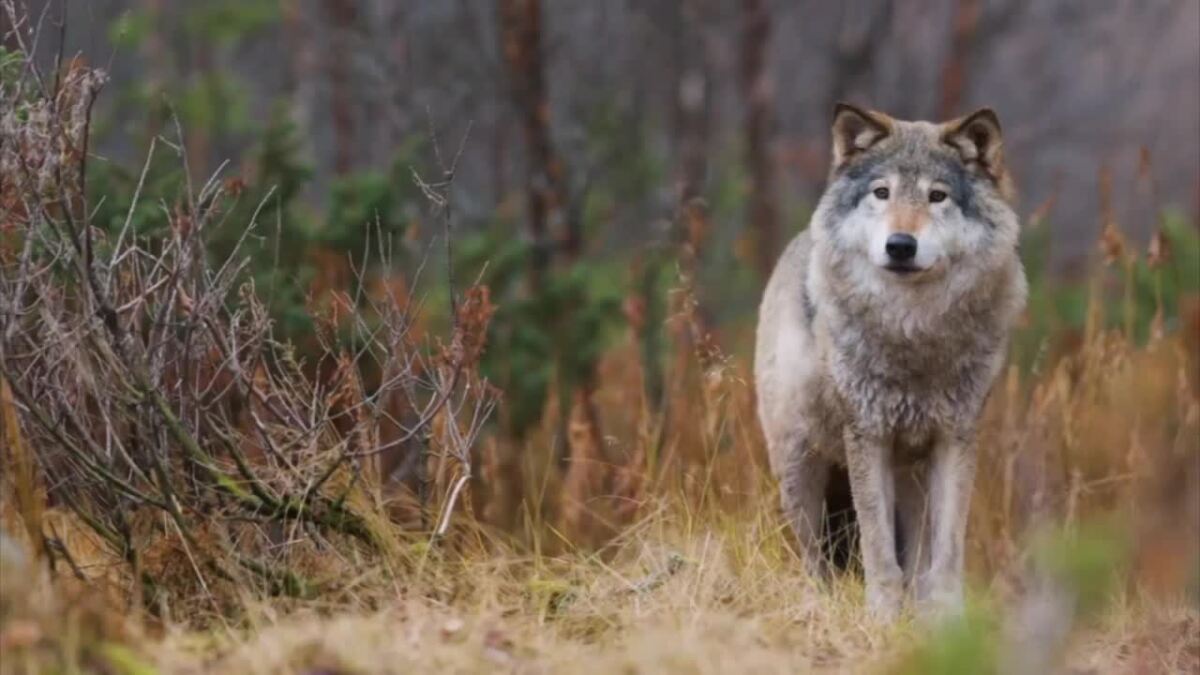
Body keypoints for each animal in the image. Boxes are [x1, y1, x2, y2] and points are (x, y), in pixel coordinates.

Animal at [754, 103, 1026, 620]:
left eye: (937, 196)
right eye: (882, 193)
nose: (901, 244)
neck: (912, 334)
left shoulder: (956, 439)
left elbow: (945, 552)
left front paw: (946, 620)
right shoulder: (867, 437)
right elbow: (878, 550)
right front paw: (881, 618)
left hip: (910, 476)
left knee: (917, 549)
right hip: (801, 467)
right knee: (815, 558)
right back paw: (822, 604)